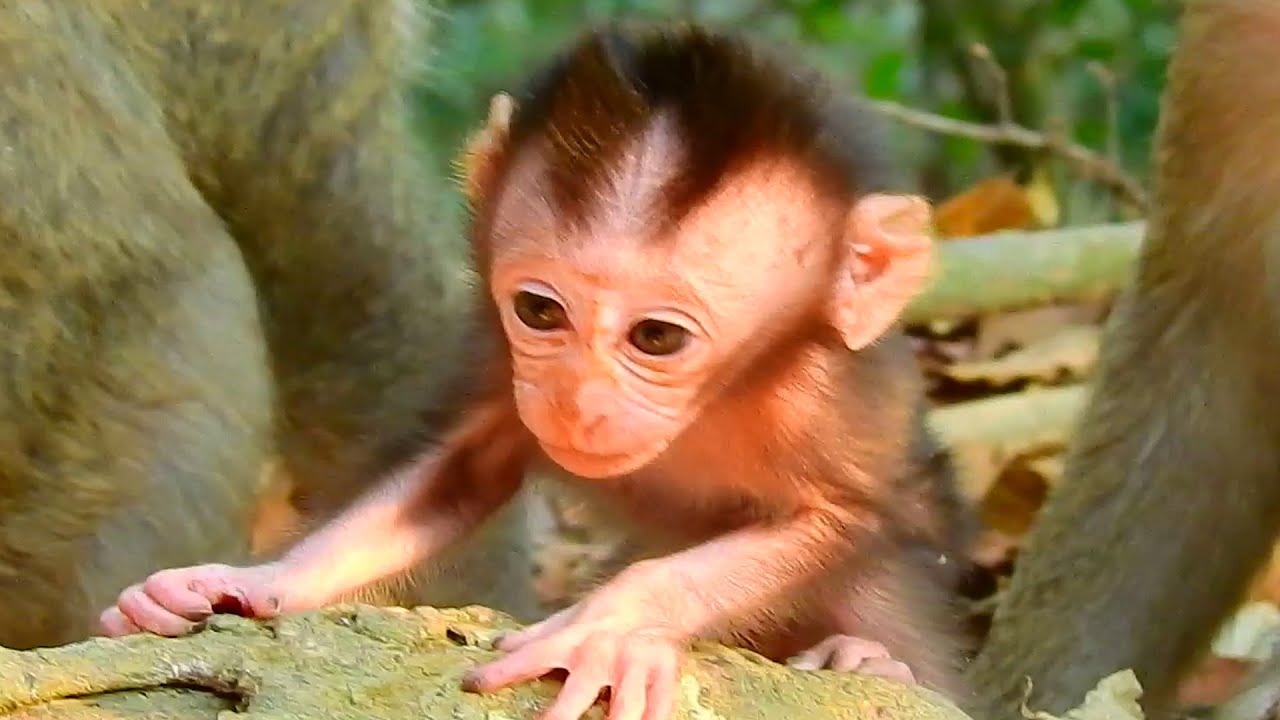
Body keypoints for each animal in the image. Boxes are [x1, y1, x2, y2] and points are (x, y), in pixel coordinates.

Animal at [99, 24, 975, 720]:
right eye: (540, 312)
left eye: (657, 336)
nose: (577, 403)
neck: (729, 389)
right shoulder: (500, 355)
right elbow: (462, 469)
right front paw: (260, 580)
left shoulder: (817, 401)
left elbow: (838, 517)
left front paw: (618, 623)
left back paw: (865, 659)